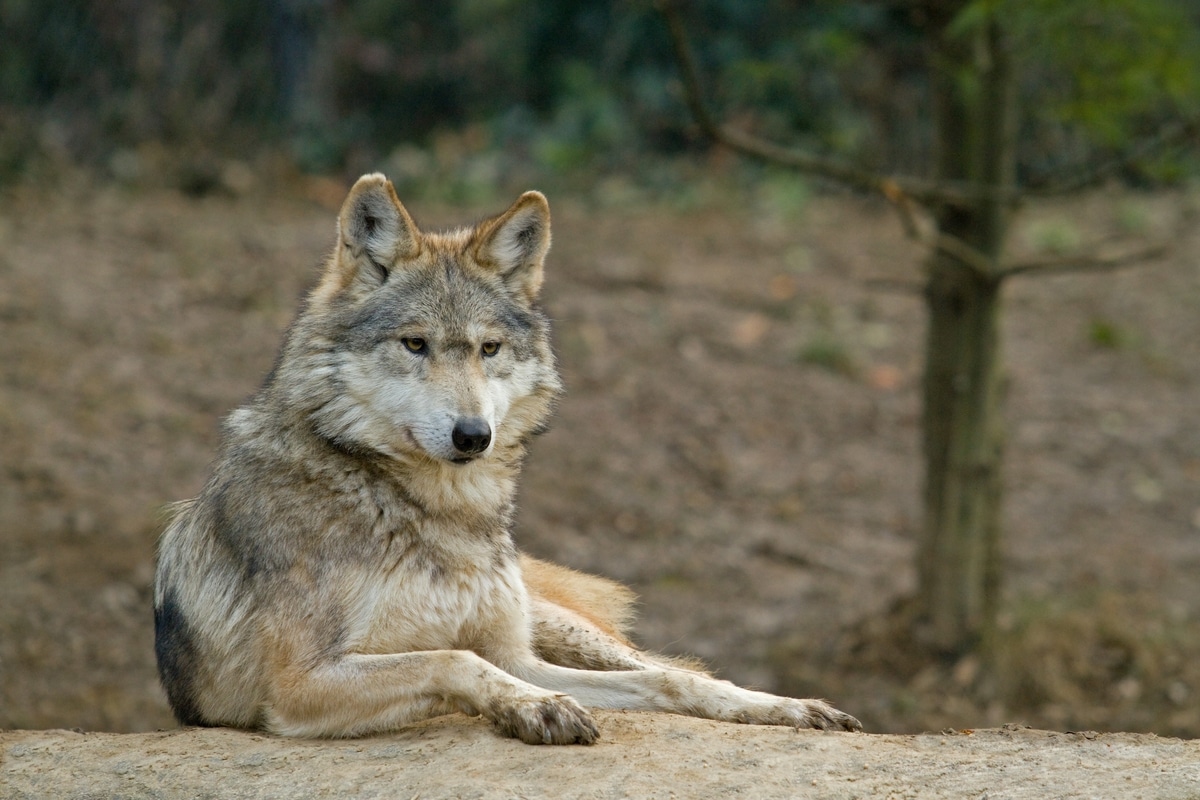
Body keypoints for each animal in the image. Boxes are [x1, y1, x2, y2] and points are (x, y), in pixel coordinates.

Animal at [153, 173, 861, 743]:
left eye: (489, 349)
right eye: (415, 344)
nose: (474, 435)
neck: (441, 517)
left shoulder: (516, 654)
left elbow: (655, 683)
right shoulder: (298, 685)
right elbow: (453, 659)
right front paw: (538, 709)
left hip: (563, 628)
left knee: (671, 668)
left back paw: (791, 707)